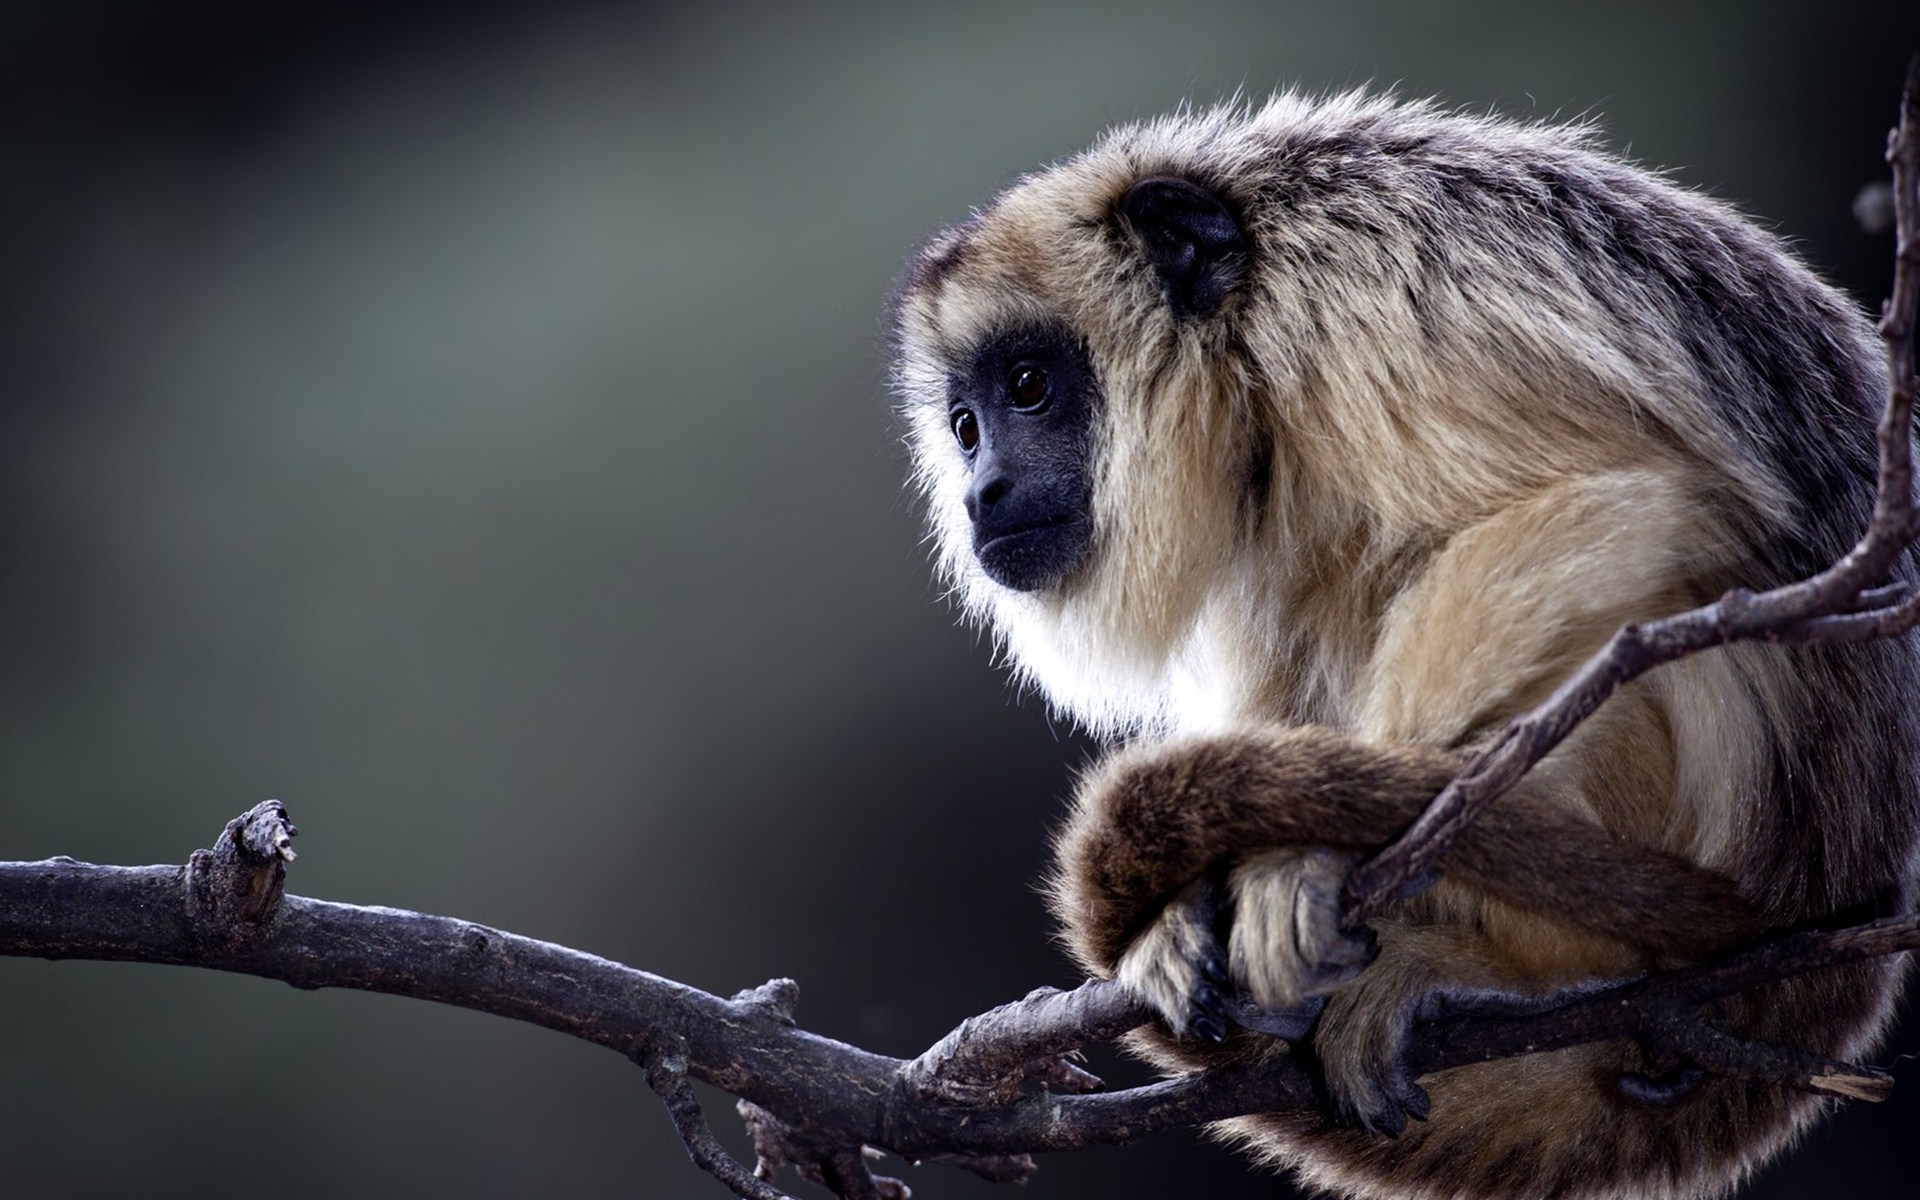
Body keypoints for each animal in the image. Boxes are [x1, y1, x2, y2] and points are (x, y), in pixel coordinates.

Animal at [889, 91, 1920, 1200]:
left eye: (1029, 387)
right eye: (965, 425)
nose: (981, 491)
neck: (1249, 333)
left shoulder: (1363, 311)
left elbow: (1624, 501)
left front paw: (1314, 853)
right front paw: (1190, 908)